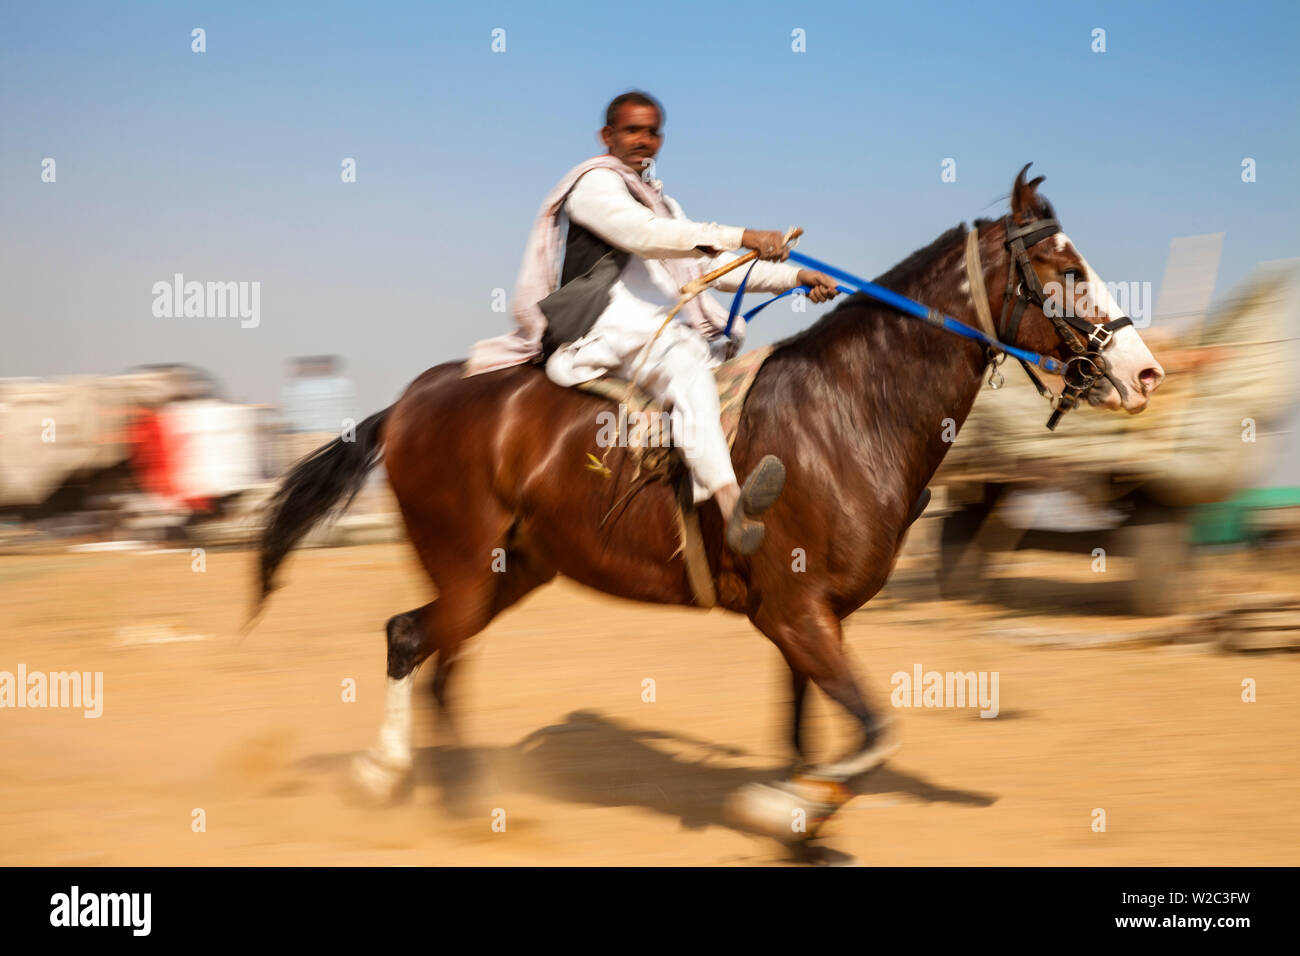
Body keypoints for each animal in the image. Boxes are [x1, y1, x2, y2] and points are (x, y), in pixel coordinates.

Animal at [253, 165, 1164, 843]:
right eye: (1066, 270)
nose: (1146, 371)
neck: (847, 413)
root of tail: (410, 402)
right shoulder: (796, 613)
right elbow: (871, 735)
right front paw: (776, 804)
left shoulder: (808, 620)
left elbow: (811, 735)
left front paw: (799, 816)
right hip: (471, 567)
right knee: (410, 640)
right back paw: (389, 776)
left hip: (513, 571)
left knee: (431, 652)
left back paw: (460, 800)